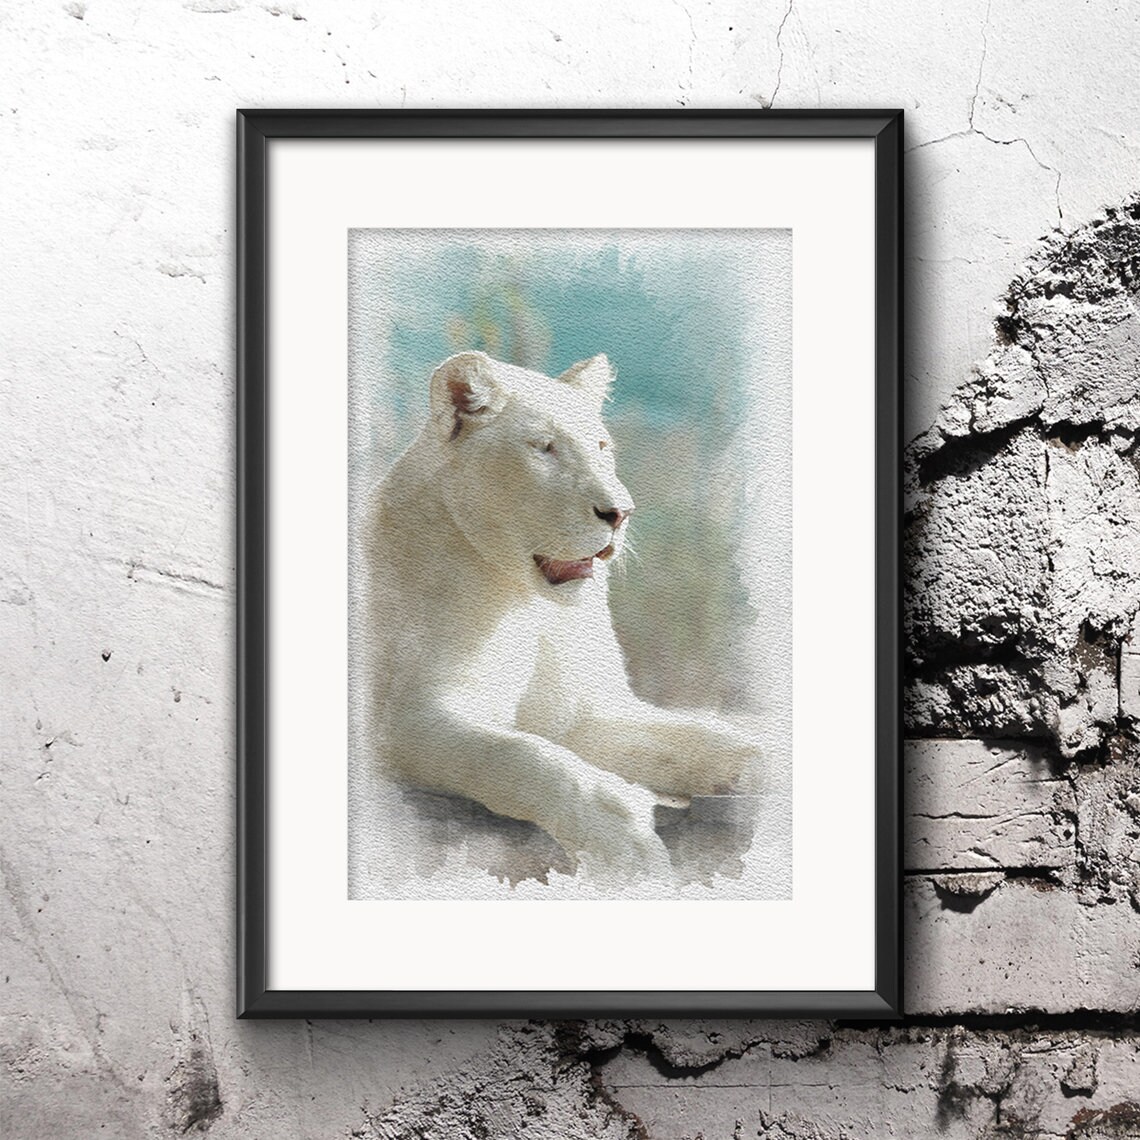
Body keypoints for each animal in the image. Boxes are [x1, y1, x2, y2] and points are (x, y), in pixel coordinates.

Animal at [362, 350, 758, 879]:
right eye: (544, 447)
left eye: (602, 445)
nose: (621, 513)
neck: (526, 606)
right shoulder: (401, 722)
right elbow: (517, 754)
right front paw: (622, 838)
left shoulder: (581, 717)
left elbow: (694, 739)